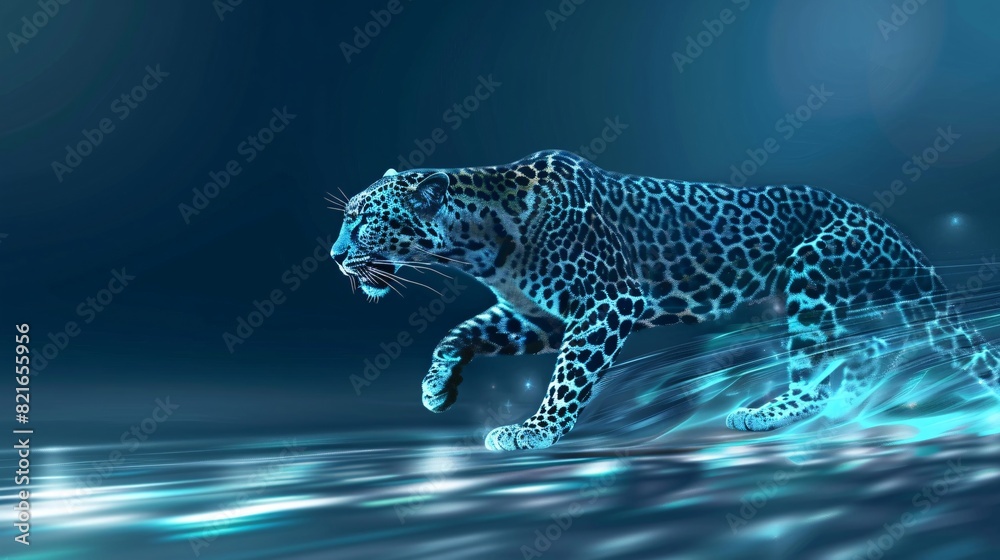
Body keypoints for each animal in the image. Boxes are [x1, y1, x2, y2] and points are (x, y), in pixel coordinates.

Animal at [329, 150, 1000, 451]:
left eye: (364, 222)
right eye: (348, 219)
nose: (335, 255)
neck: (476, 242)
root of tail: (892, 232)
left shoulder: (607, 303)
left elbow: (568, 378)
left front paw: (535, 431)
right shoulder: (534, 315)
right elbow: (458, 333)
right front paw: (436, 389)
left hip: (815, 269)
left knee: (820, 370)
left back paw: (773, 411)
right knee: (862, 355)